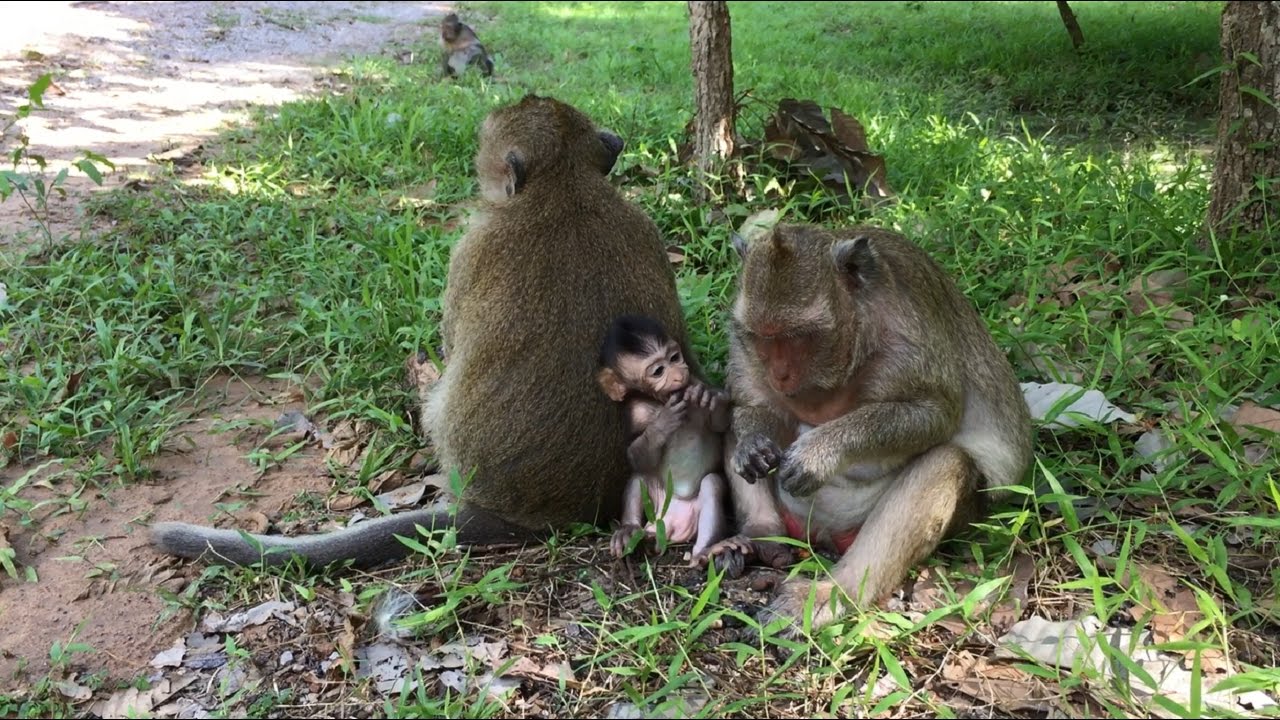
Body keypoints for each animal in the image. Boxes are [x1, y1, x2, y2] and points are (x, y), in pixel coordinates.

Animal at [595, 314, 732, 567]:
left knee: (712, 484)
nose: (679, 373)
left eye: (674, 357)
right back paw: (629, 529)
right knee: (639, 477)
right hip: (657, 505)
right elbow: (634, 455)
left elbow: (719, 426)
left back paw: (704, 551)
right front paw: (662, 423)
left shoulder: (694, 383)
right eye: (658, 371)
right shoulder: (635, 412)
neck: (661, 400)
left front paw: (713, 397)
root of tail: (668, 524)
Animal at [705, 222, 1033, 637]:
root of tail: (818, 535)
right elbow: (753, 407)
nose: (780, 374)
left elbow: (934, 415)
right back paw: (758, 537)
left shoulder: (907, 342)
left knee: (946, 461)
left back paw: (831, 594)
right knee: (724, 416)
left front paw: (820, 453)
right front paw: (752, 446)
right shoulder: (743, 345)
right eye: (764, 338)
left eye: (799, 338)